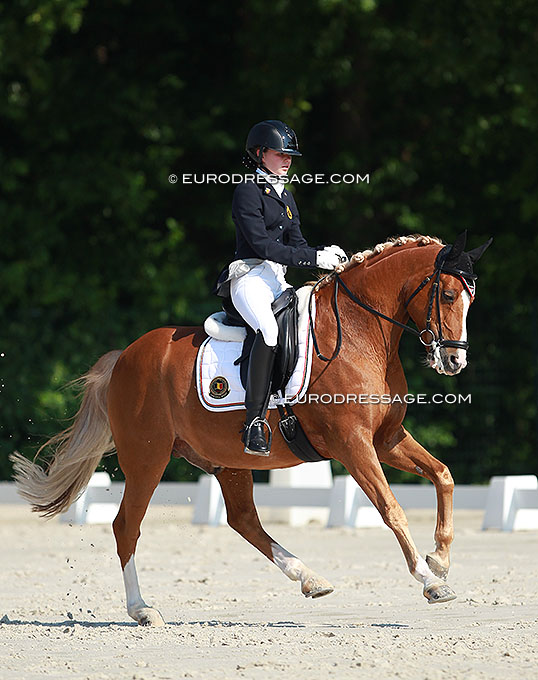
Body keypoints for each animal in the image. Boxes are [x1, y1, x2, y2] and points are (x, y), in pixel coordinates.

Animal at [11, 232, 491, 627]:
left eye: (471, 300)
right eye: (449, 294)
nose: (455, 361)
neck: (359, 333)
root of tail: (125, 355)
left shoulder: (386, 440)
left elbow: (443, 475)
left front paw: (440, 558)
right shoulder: (353, 445)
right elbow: (391, 508)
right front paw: (431, 581)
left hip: (227, 458)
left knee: (243, 520)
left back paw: (309, 578)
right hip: (147, 458)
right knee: (126, 525)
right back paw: (143, 610)